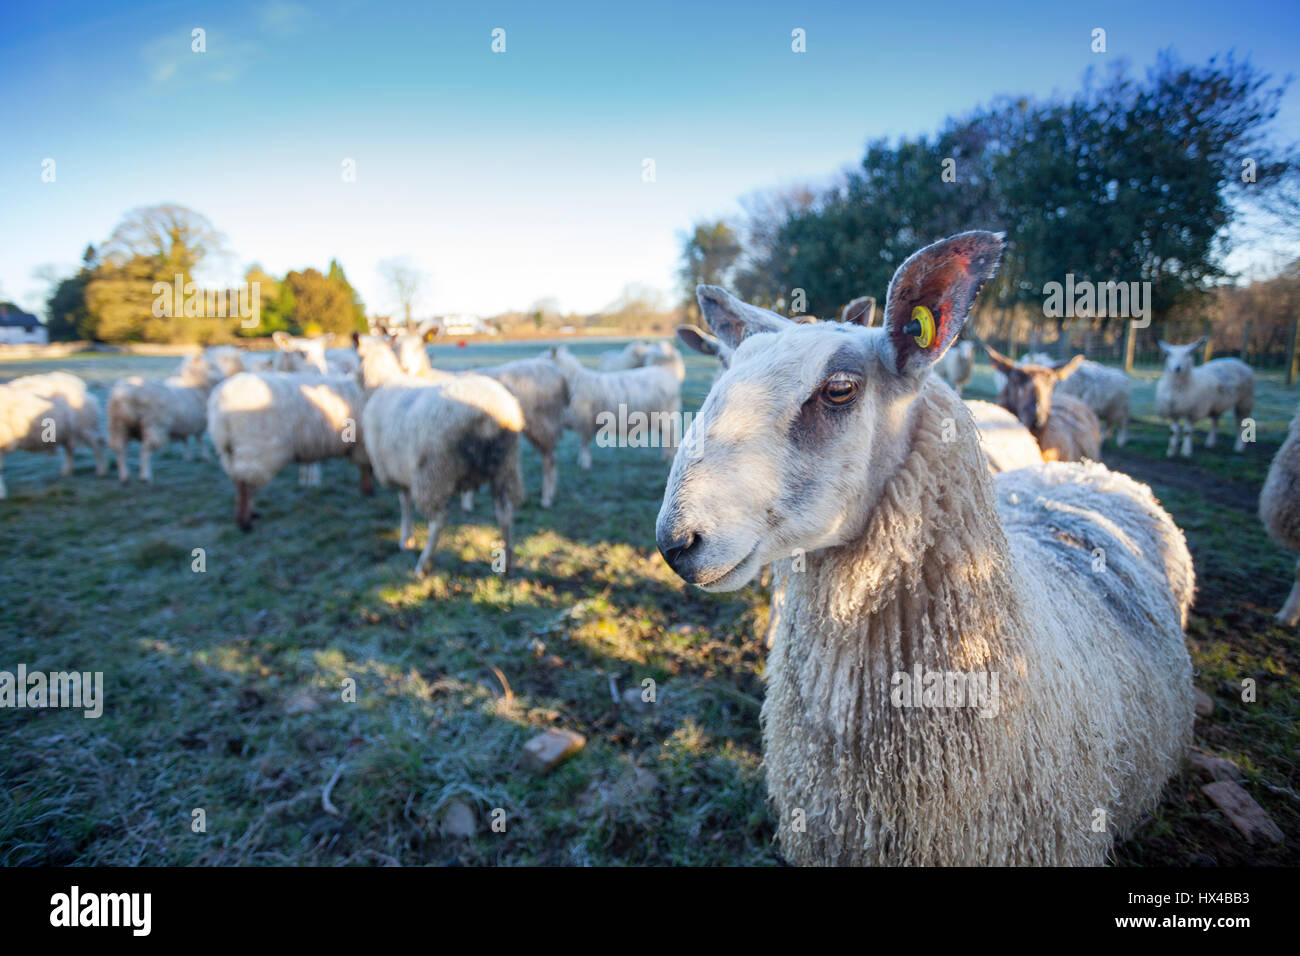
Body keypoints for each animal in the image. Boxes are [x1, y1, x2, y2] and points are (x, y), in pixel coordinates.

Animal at [107, 353, 224, 483]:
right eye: (211, 365)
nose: (223, 377)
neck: (194, 384)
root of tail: (125, 394)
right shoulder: (198, 423)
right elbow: (199, 440)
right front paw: (205, 456)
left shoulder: (186, 423)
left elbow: (185, 440)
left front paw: (187, 456)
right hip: (153, 425)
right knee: (144, 451)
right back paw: (145, 476)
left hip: (118, 425)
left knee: (120, 450)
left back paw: (124, 476)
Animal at [207, 371, 373, 530]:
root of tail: (218, 411)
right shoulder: (364, 445)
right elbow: (366, 469)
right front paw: (367, 491)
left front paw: (367, 491)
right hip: (254, 448)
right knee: (245, 485)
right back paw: (245, 523)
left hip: (232, 453)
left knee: (240, 482)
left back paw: (247, 516)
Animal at [356, 336, 524, 577]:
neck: (380, 383)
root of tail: (489, 417)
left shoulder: (399, 468)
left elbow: (404, 502)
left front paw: (405, 538)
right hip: (504, 467)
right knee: (505, 512)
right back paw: (507, 562)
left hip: (435, 471)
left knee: (438, 520)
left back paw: (424, 564)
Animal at [549, 345, 683, 469]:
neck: (574, 381)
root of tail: (667, 372)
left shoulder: (585, 420)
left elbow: (584, 443)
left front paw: (584, 463)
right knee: (667, 438)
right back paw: (666, 458)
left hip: (667, 416)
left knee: (672, 438)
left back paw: (671, 460)